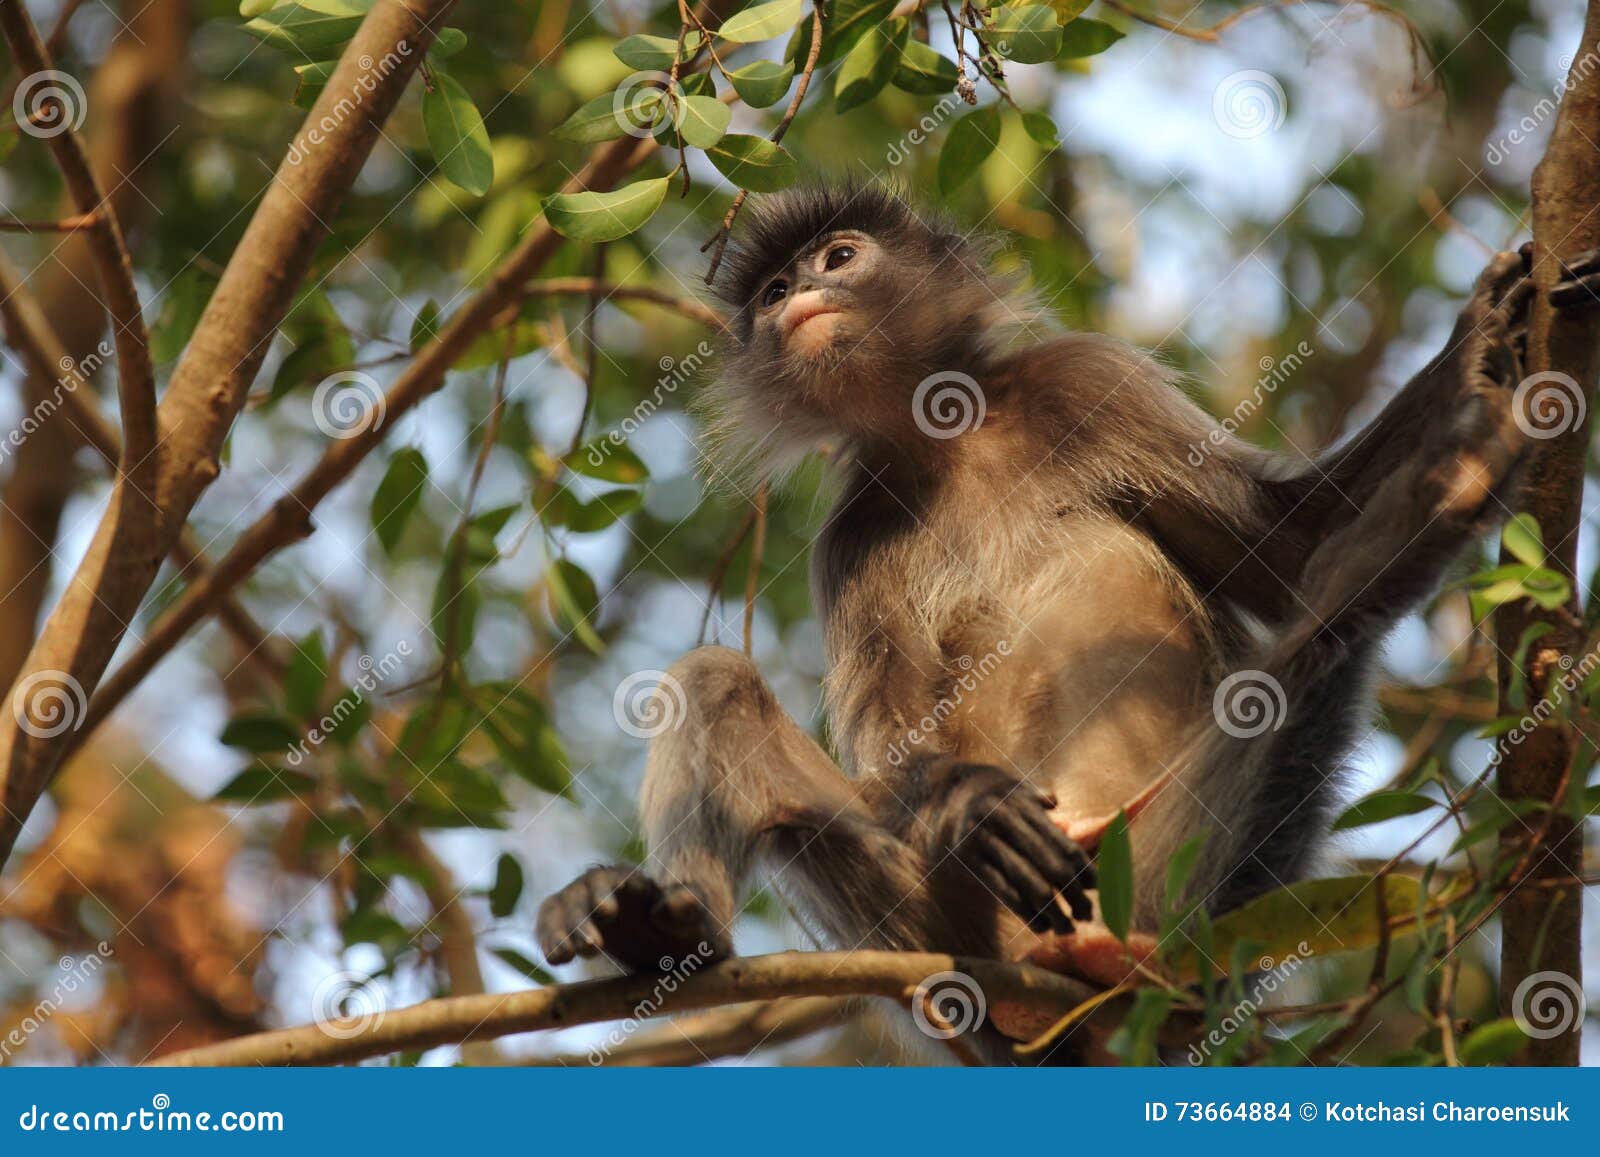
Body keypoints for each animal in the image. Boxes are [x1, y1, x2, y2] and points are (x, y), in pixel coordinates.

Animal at [537, 182, 1600, 1060]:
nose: (796, 293)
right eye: (770, 292)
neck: (947, 433)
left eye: (836, 258)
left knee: (1317, 635)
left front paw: (1478, 336)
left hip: (1180, 894)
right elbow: (891, 740)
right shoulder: (852, 533)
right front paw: (972, 805)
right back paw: (663, 933)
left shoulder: (1088, 381)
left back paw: (1438, 498)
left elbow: (1288, 554)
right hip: (945, 939)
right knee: (718, 681)